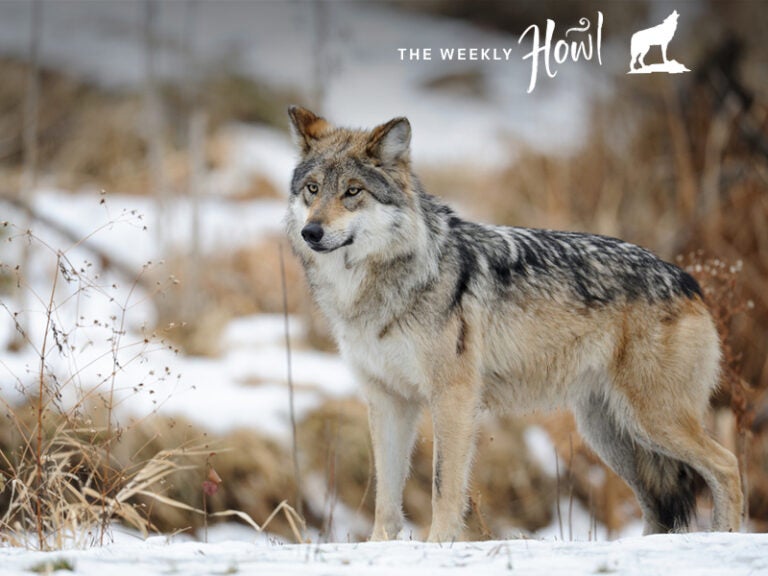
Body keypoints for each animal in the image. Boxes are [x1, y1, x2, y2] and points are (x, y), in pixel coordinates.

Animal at [284, 106, 743, 542]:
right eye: (313, 189)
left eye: (352, 192)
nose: (312, 232)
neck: (374, 291)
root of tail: (689, 281)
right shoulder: (386, 399)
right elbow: (385, 492)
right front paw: (381, 546)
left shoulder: (453, 396)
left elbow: (443, 485)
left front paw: (437, 545)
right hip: (612, 434)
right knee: (659, 508)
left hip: (652, 420)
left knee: (728, 464)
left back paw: (725, 535)